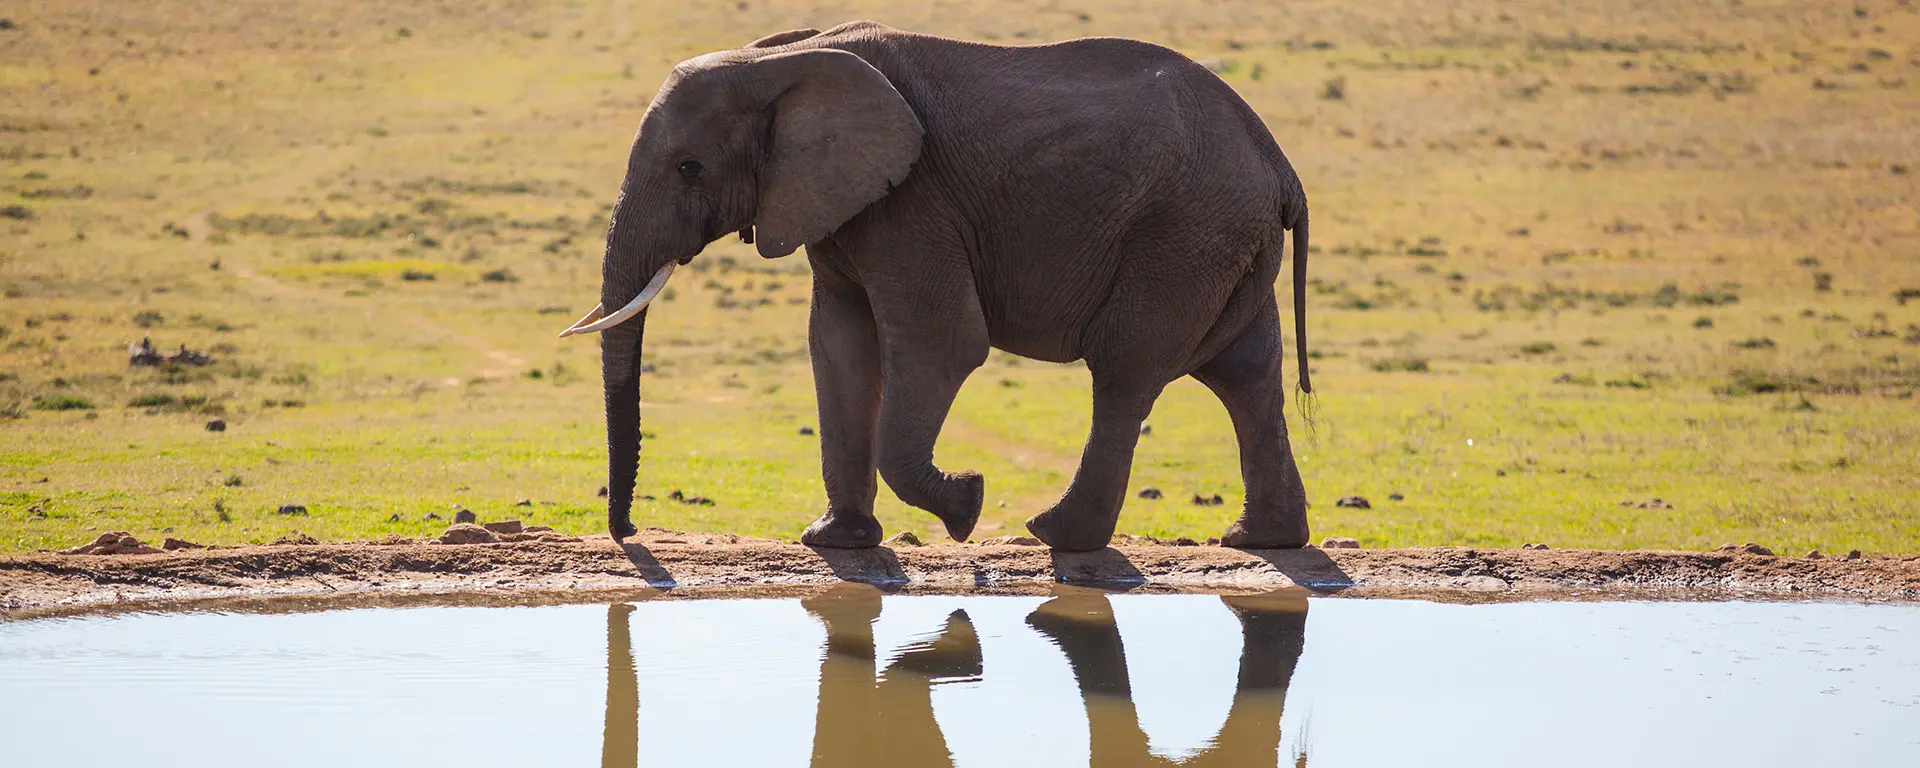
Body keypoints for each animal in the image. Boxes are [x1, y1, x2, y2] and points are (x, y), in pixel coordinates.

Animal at [561, 21, 1314, 552]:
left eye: (689, 168)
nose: (628, 534)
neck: (786, 58)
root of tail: (1278, 162)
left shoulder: (914, 202)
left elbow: (943, 344)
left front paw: (966, 503)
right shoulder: (840, 204)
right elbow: (838, 343)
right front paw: (837, 541)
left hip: (1183, 234)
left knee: (1126, 371)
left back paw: (1057, 536)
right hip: (1222, 240)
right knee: (1247, 374)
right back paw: (1261, 540)